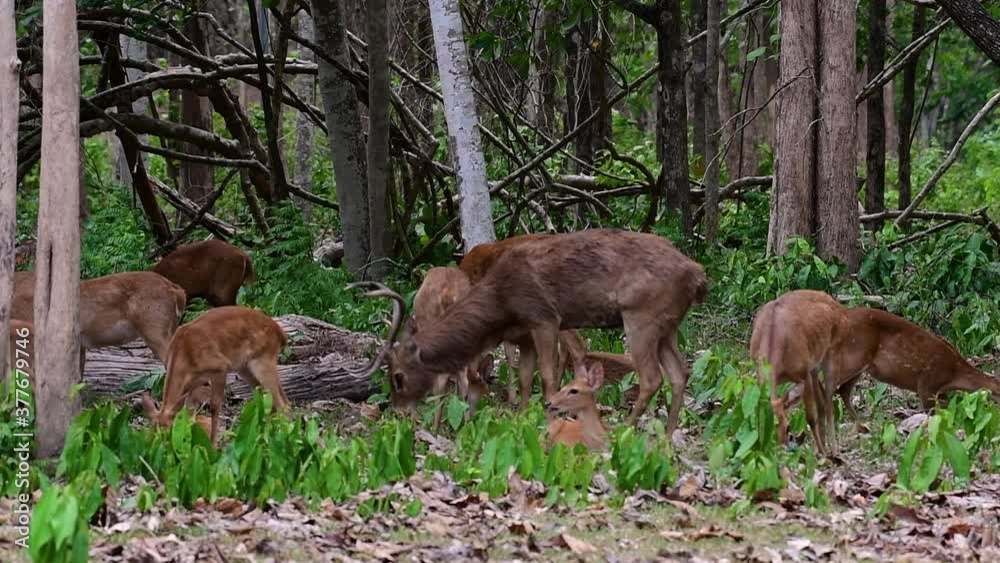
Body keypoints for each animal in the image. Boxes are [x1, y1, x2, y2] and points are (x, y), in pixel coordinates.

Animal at [140, 306, 291, 446]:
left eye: (168, 434)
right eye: (151, 435)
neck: (184, 355)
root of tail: (280, 333)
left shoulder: (220, 368)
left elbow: (214, 406)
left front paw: (212, 445)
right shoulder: (194, 384)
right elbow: (188, 410)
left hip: (263, 360)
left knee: (282, 404)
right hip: (245, 368)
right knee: (275, 398)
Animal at [349, 228, 708, 434]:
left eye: (398, 376)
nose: (399, 413)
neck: (501, 307)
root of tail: (698, 274)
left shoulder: (544, 318)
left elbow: (546, 377)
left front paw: (548, 417)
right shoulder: (523, 335)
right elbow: (524, 378)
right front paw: (521, 417)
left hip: (641, 316)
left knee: (652, 377)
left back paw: (625, 430)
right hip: (668, 326)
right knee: (680, 373)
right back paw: (668, 436)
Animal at [749, 290, 848, 457]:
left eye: (788, 427)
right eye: (762, 428)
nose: (780, 452)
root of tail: (838, 306)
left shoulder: (803, 373)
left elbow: (810, 418)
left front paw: (823, 454)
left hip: (833, 351)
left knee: (829, 402)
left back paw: (833, 451)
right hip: (814, 365)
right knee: (821, 401)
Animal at [783, 307, 1000, 418]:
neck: (955, 371)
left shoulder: (941, 391)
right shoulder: (928, 382)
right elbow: (930, 412)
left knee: (842, 389)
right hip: (854, 354)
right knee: (826, 383)